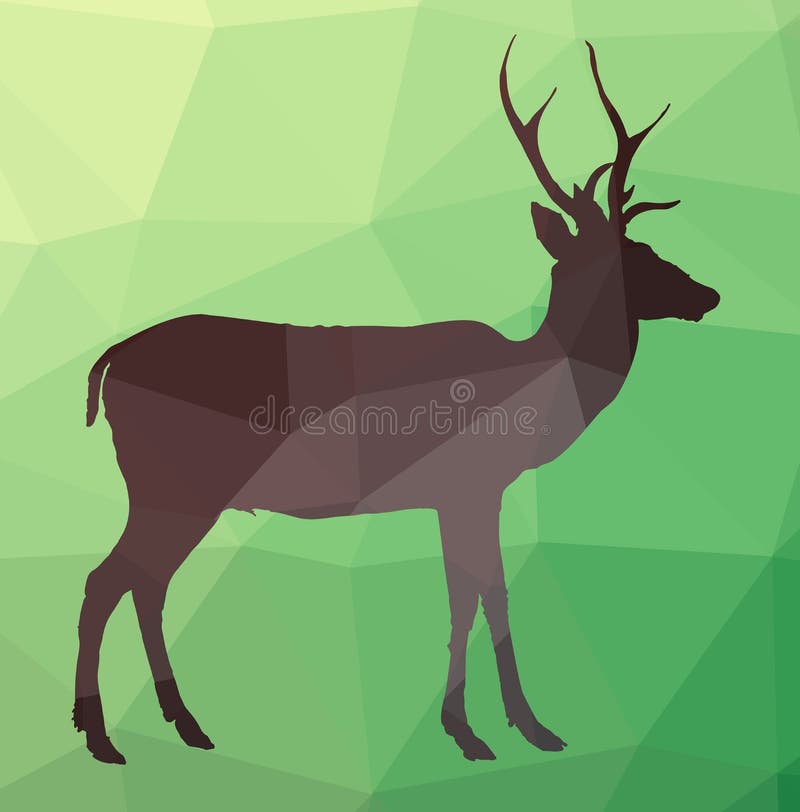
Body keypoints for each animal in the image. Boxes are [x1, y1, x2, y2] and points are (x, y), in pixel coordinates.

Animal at [73, 38, 720, 765]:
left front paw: (493, 726)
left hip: (170, 494)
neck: (533, 386)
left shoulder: (457, 494)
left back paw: (184, 724)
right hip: (174, 485)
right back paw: (102, 736)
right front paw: (500, 729)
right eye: (632, 254)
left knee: (143, 583)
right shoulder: (470, 484)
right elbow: (480, 597)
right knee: (110, 581)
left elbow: (474, 595)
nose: (707, 294)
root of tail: (107, 362)